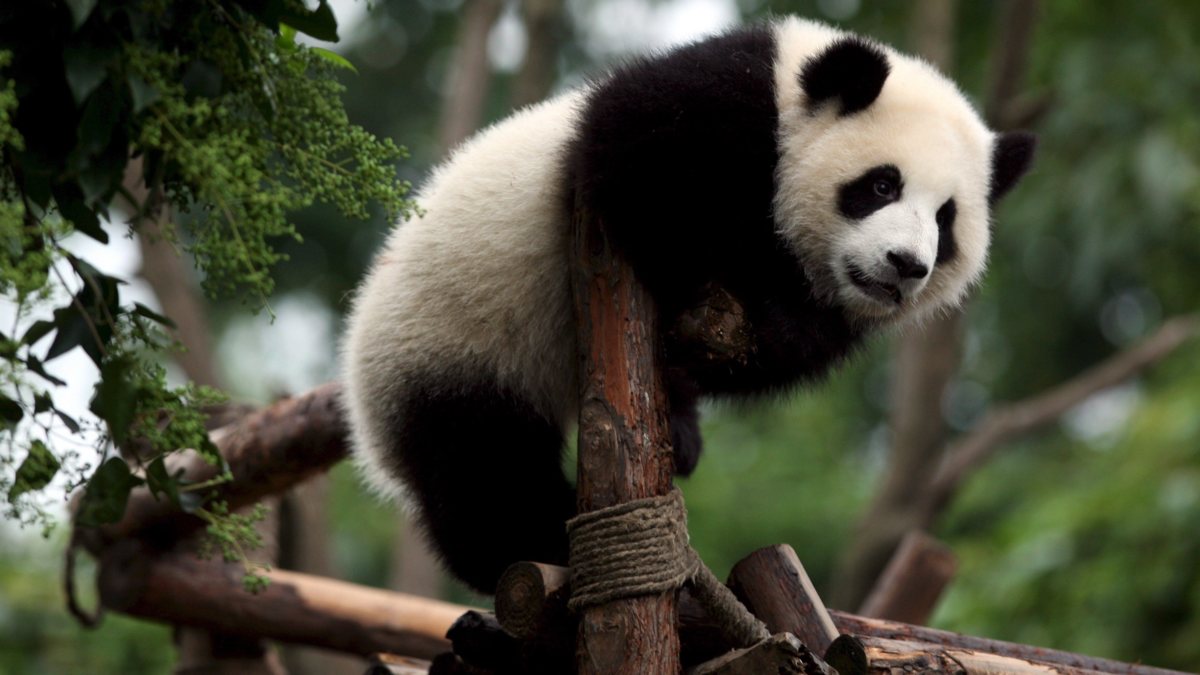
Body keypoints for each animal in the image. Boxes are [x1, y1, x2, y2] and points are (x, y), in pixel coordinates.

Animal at [342, 17, 1035, 594]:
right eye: (882, 184)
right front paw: (750, 282)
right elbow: (644, 176)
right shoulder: (716, 103)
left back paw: (677, 431)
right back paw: (537, 538)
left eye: (946, 221)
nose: (905, 266)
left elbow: (771, 351)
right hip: (449, 346)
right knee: (482, 466)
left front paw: (781, 324)